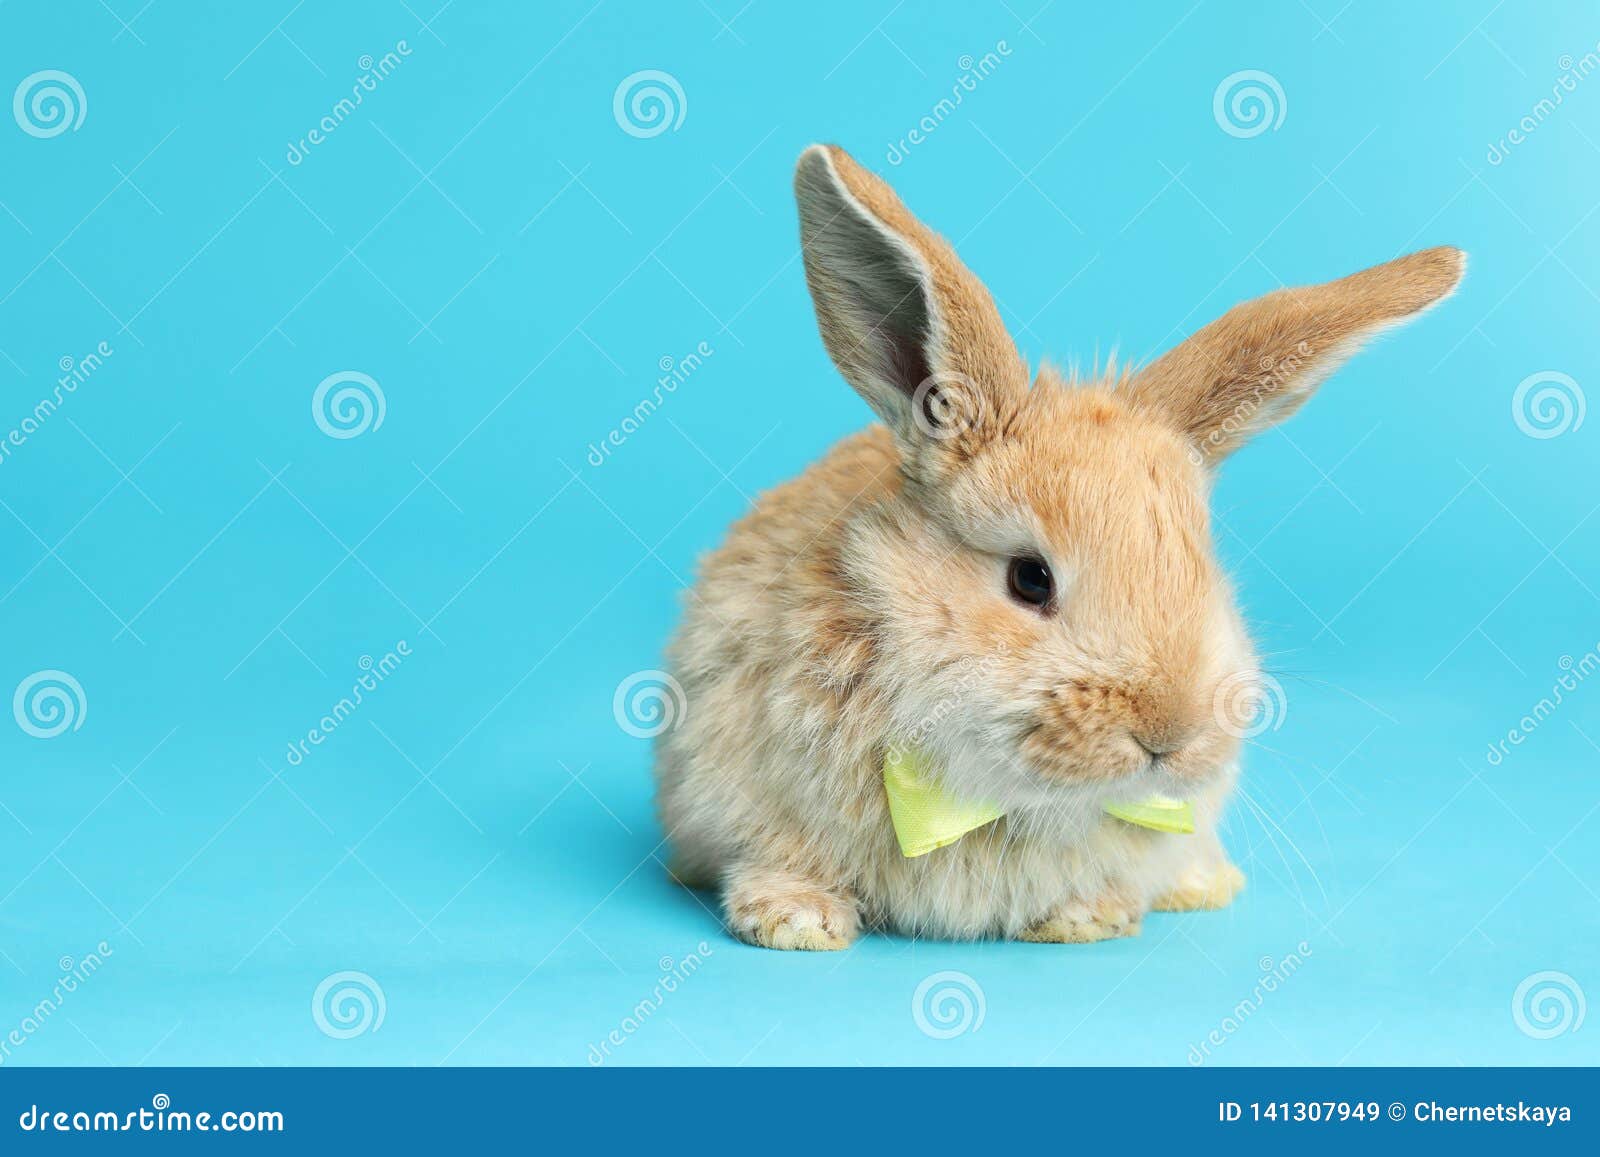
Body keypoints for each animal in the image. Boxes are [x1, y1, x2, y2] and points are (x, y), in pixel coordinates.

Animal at [654, 143, 1464, 949]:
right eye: (1030, 579)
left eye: (1203, 570)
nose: (1170, 734)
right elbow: (778, 854)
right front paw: (798, 921)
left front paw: (1088, 918)